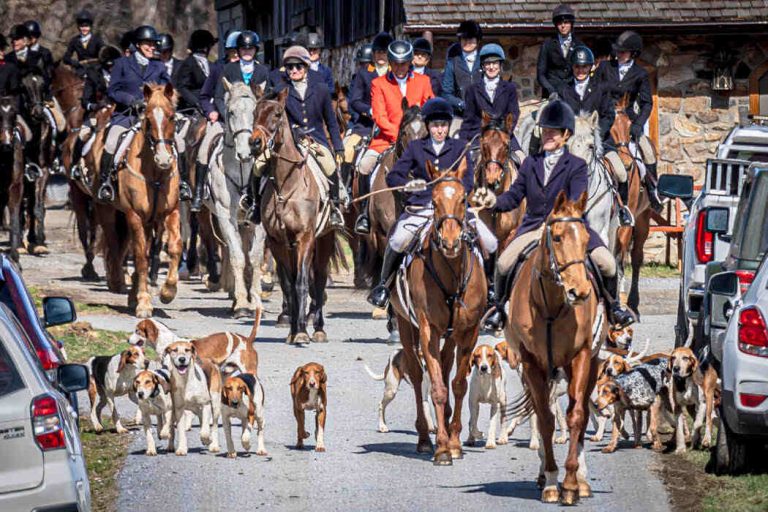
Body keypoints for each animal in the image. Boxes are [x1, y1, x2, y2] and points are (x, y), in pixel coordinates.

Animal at [102, 83, 183, 318]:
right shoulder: (134, 215)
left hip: (149, 221)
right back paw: (120, 282)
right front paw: (144, 303)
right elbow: (139, 257)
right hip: (110, 211)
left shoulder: (171, 212)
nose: (164, 159)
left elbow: (175, 247)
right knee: (115, 241)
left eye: (172, 116)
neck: (154, 173)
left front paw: (168, 291)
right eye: (147, 119)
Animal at [203, 79, 265, 317]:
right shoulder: (224, 215)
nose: (247, 151)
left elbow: (254, 257)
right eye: (230, 112)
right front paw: (241, 304)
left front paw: (255, 300)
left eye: (255, 112)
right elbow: (238, 257)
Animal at [252, 87, 343, 344]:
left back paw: (319, 328)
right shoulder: (277, 241)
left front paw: (302, 331)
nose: (254, 143)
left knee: (319, 279)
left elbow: (302, 282)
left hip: (324, 239)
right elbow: (288, 284)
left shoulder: (305, 237)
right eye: (254, 112)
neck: (287, 184)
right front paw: (293, 329)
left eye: (277, 114)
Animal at [389, 157, 486, 464]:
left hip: (452, 335)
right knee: (419, 375)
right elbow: (438, 388)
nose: (450, 242)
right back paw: (423, 438)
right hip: (406, 327)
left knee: (444, 366)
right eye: (433, 200)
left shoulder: (469, 332)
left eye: (464, 199)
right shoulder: (428, 330)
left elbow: (457, 384)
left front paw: (454, 442)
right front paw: (442, 447)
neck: (451, 273)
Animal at [504, 191, 601, 505]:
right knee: (540, 410)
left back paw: (581, 480)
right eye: (557, 237)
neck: (552, 307)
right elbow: (545, 419)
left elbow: (576, 416)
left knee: (580, 414)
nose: (580, 292)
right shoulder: (532, 363)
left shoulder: (581, 357)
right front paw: (550, 479)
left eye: (586, 238)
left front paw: (570, 483)